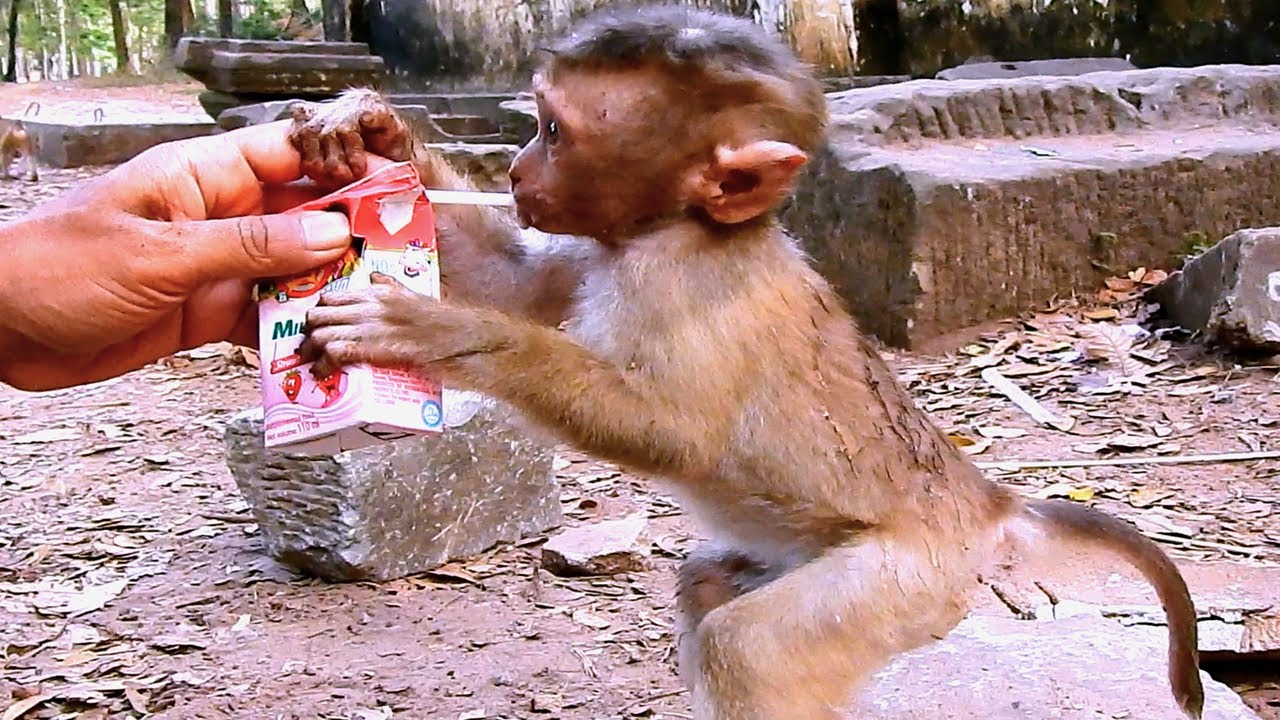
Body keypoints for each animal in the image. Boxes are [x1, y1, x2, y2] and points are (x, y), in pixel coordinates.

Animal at [288, 6, 1204, 720]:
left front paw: (425, 326)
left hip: (908, 577)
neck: (678, 228)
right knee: (710, 587)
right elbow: (513, 281)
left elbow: (671, 433)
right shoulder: (603, 253)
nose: (514, 170)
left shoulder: (682, 283)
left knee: (751, 649)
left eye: (552, 130)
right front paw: (368, 132)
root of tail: (983, 501)